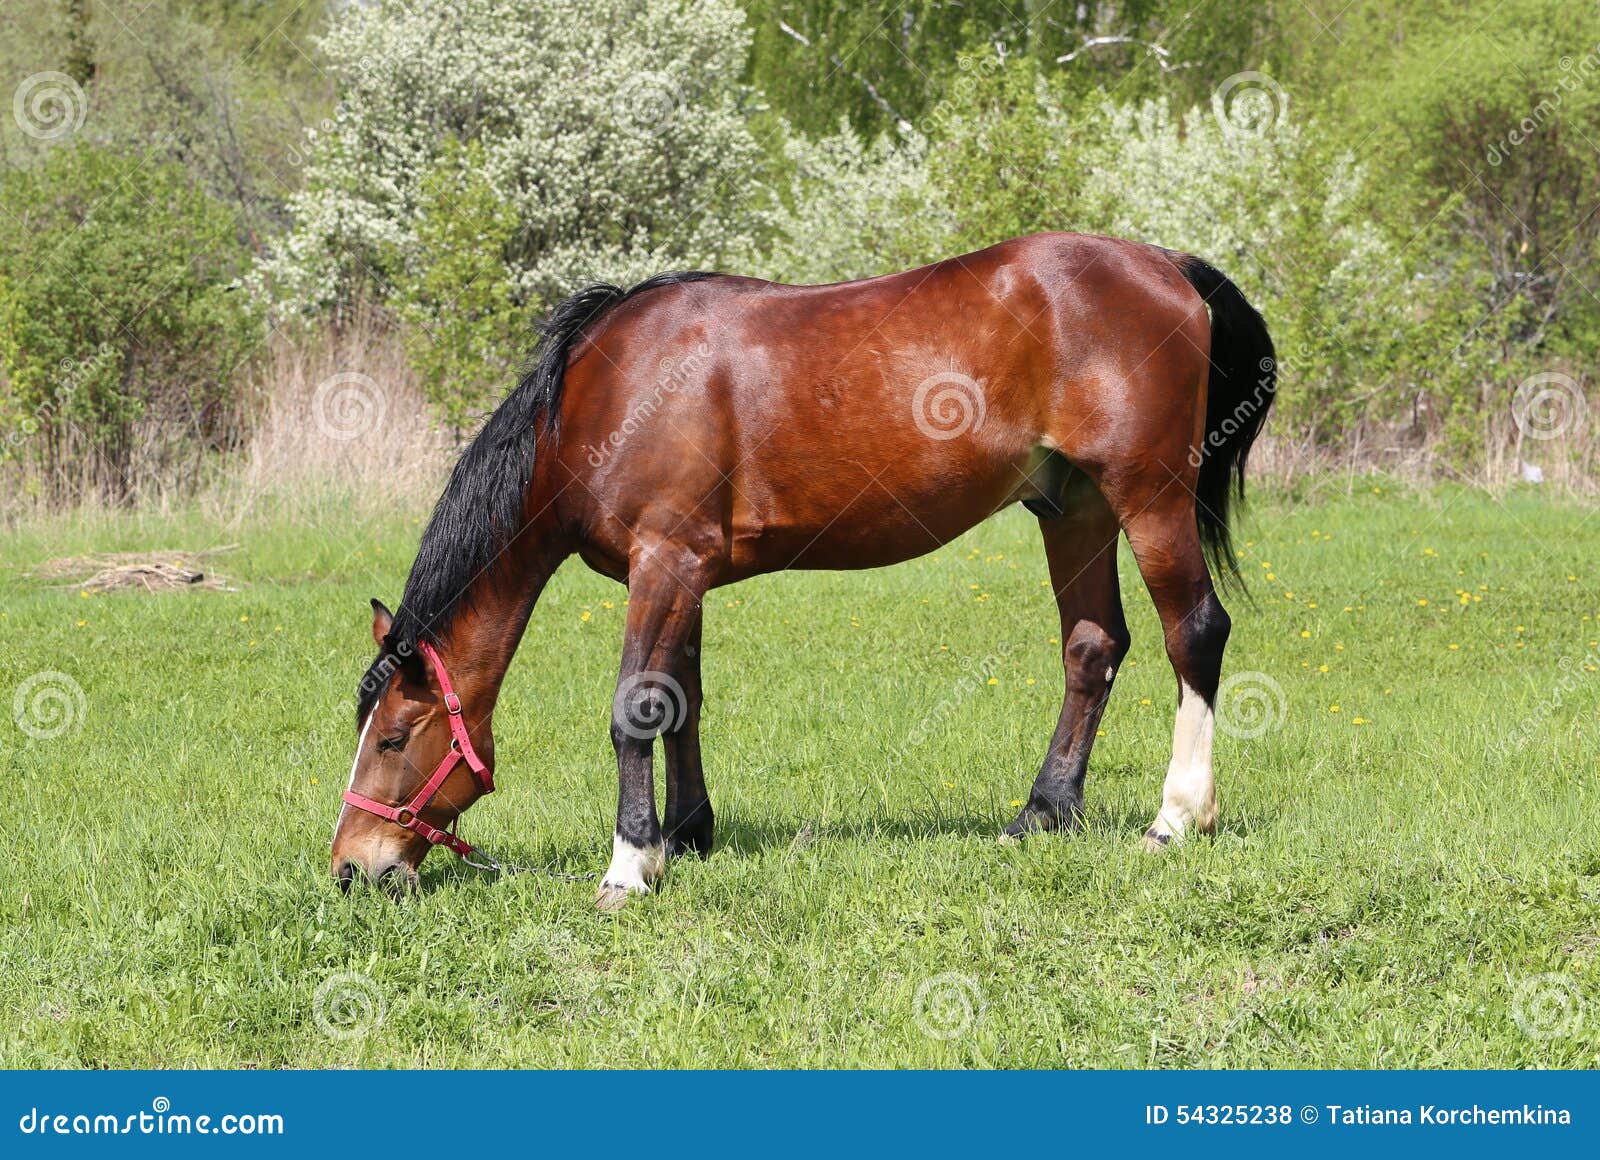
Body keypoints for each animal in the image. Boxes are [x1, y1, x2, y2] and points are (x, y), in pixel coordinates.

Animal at [331, 232, 1276, 908]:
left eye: (393, 737)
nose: (351, 869)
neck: (605, 397)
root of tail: (1167, 265)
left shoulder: (664, 561)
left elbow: (635, 707)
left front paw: (631, 863)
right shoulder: (684, 572)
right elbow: (680, 699)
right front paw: (686, 833)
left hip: (1148, 498)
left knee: (1194, 633)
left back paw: (1177, 817)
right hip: (1074, 509)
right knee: (1091, 648)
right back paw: (1041, 814)